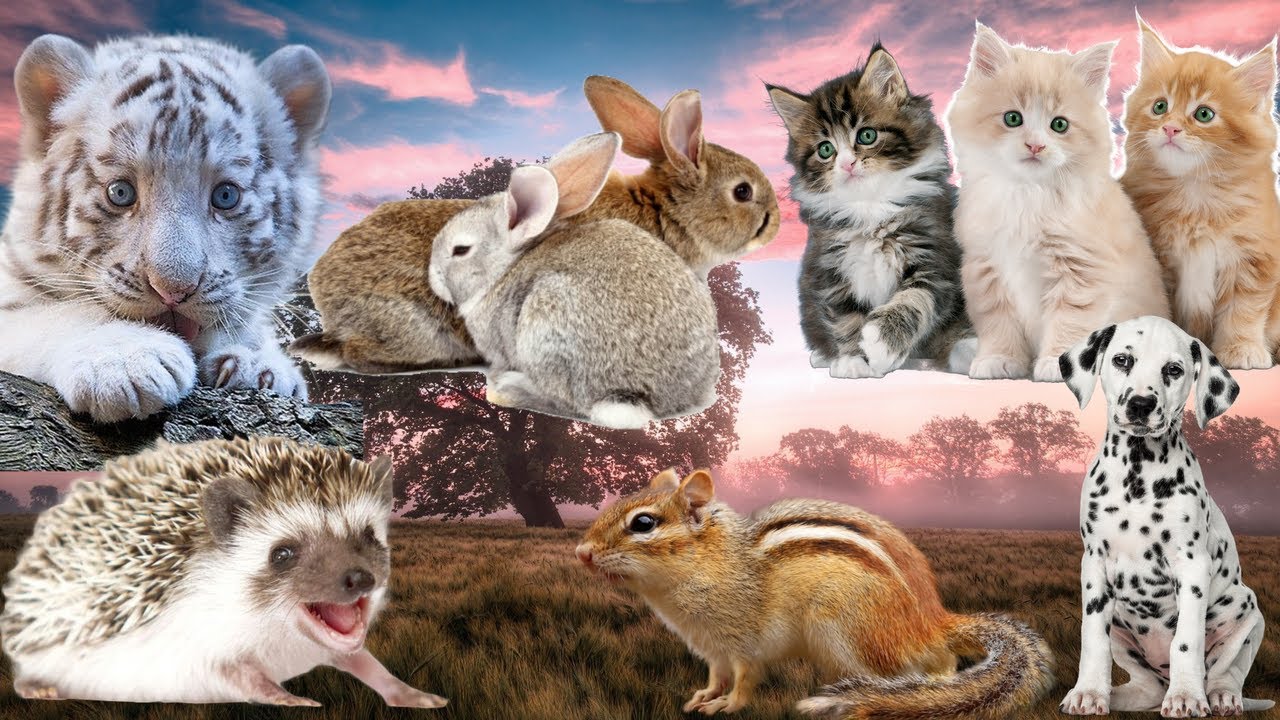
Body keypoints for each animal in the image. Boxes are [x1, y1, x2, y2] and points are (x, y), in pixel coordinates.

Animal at [429, 164, 721, 429]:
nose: (433, 277)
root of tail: (641, 394)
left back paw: (508, 389)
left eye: (461, 250)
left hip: (545, 323)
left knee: (567, 401)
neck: (504, 268)